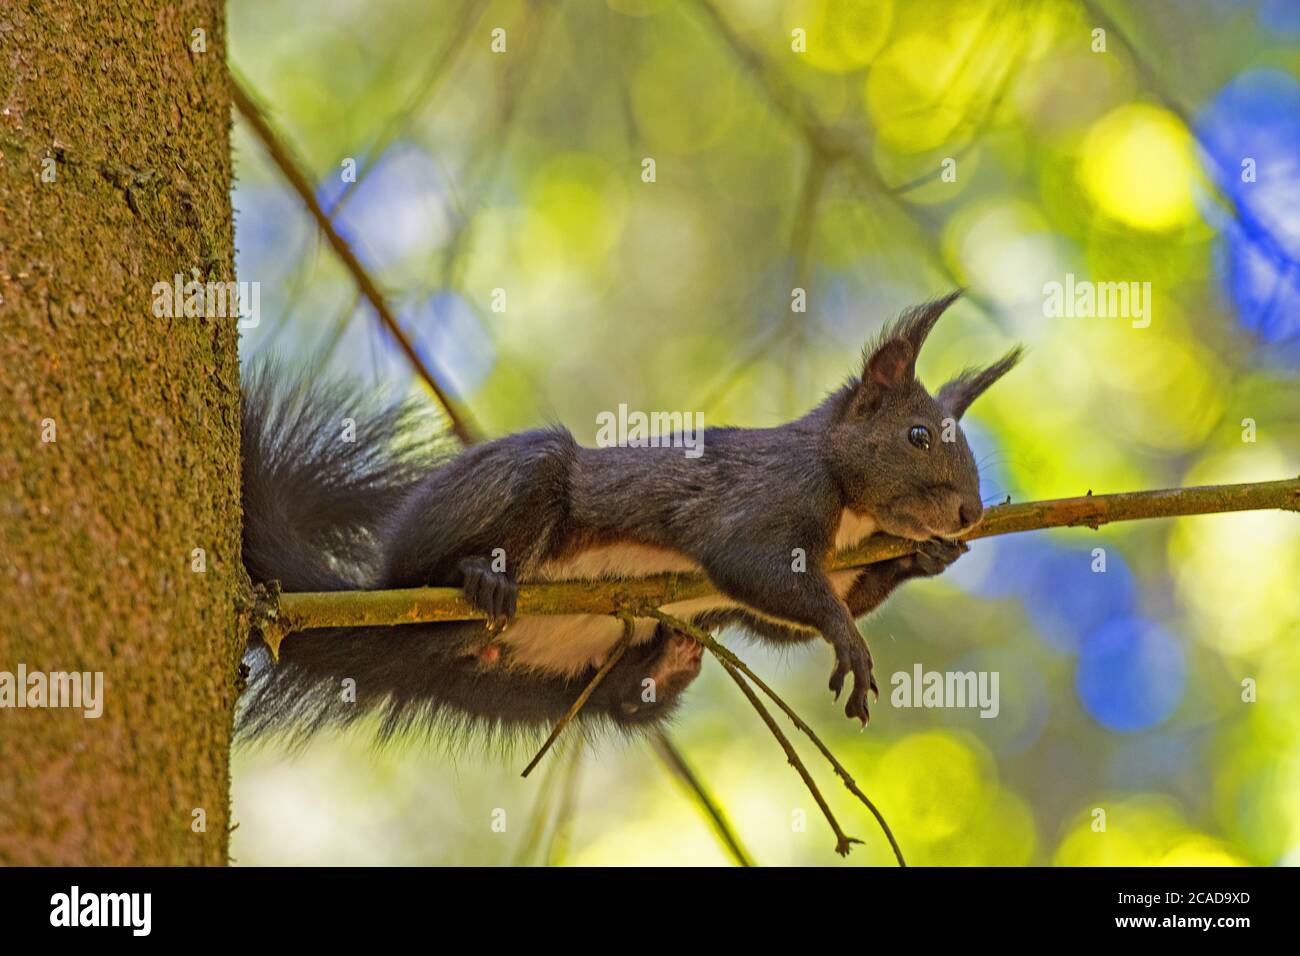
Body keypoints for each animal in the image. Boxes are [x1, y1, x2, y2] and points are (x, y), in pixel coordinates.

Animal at [237, 290, 1021, 746]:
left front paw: (924, 557)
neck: (850, 501)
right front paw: (849, 640)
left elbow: (777, 622)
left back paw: (658, 673)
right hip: (506, 495)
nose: (969, 512)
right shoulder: (765, 497)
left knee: (610, 700)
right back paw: (480, 578)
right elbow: (753, 569)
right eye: (917, 436)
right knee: (446, 566)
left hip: (533, 689)